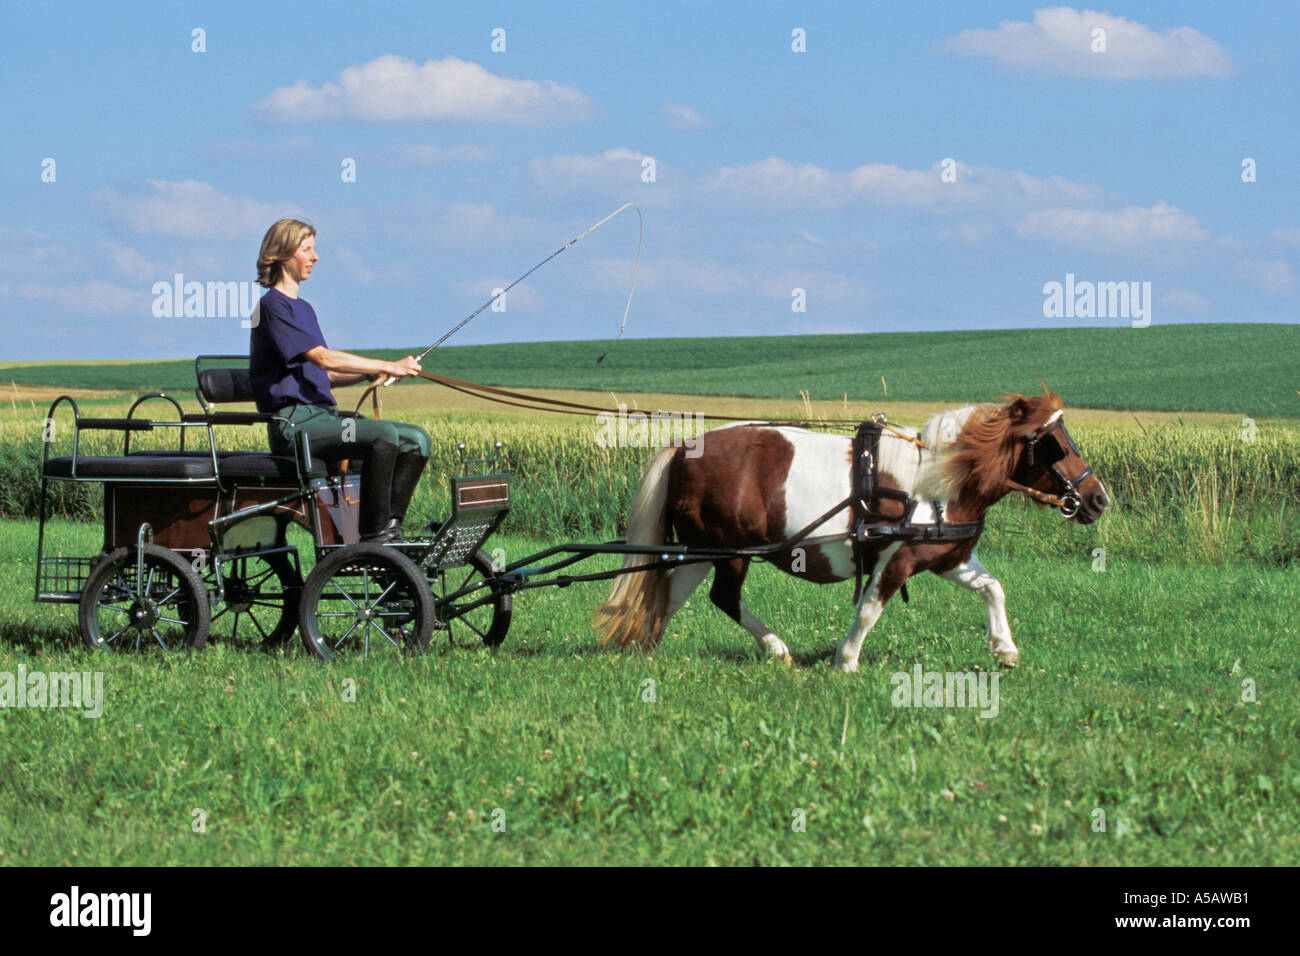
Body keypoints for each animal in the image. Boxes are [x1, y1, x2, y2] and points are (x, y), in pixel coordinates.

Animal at [594, 389, 1108, 671]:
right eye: (1055, 444)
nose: (1098, 499)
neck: (937, 481)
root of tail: (685, 445)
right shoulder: (896, 559)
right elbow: (869, 610)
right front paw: (846, 660)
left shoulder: (948, 557)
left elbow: (992, 588)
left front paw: (1005, 650)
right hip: (727, 550)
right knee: (720, 597)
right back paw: (774, 648)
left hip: (704, 551)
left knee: (672, 593)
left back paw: (649, 648)